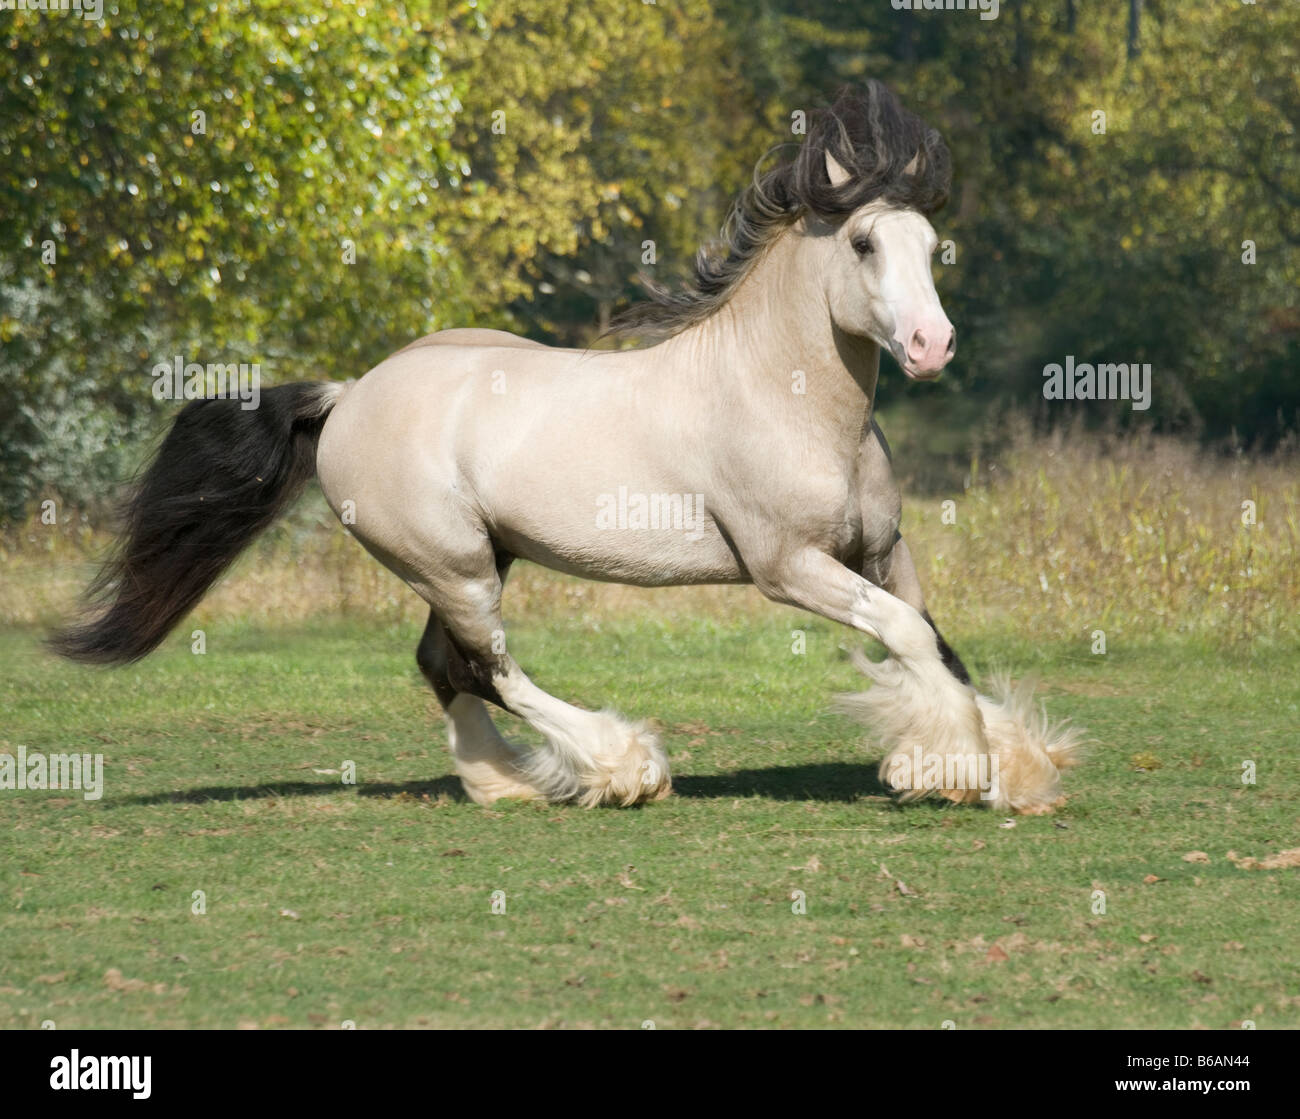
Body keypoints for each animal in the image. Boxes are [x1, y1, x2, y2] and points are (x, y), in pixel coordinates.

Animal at [52, 81, 1080, 813]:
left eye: (930, 241)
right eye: (865, 242)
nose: (932, 346)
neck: (780, 396)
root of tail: (349, 396)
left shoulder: (881, 550)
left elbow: (934, 642)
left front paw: (1013, 767)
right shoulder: (789, 567)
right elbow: (906, 637)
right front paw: (952, 766)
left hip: (478, 558)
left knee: (443, 666)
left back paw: (507, 783)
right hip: (453, 563)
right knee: (488, 667)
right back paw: (622, 767)